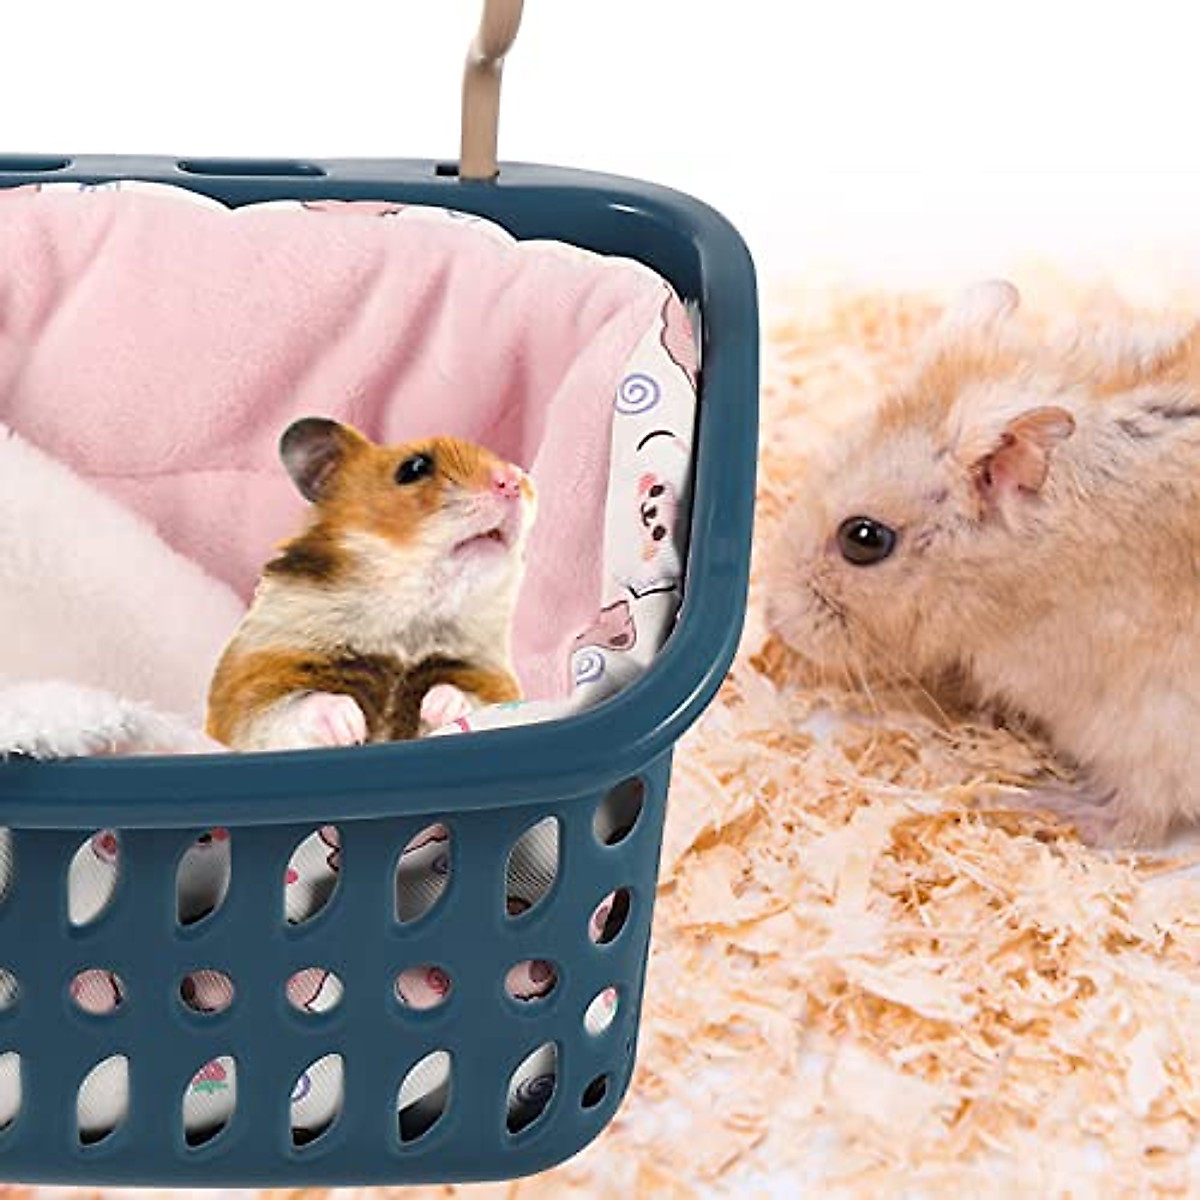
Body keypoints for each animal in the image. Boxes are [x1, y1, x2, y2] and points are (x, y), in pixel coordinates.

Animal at [207, 418, 535, 751]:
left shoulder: (490, 678)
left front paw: (438, 705)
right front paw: (349, 725)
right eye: (414, 467)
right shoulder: (249, 687)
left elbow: (470, 697)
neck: (408, 624)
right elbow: (295, 705)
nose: (514, 481)